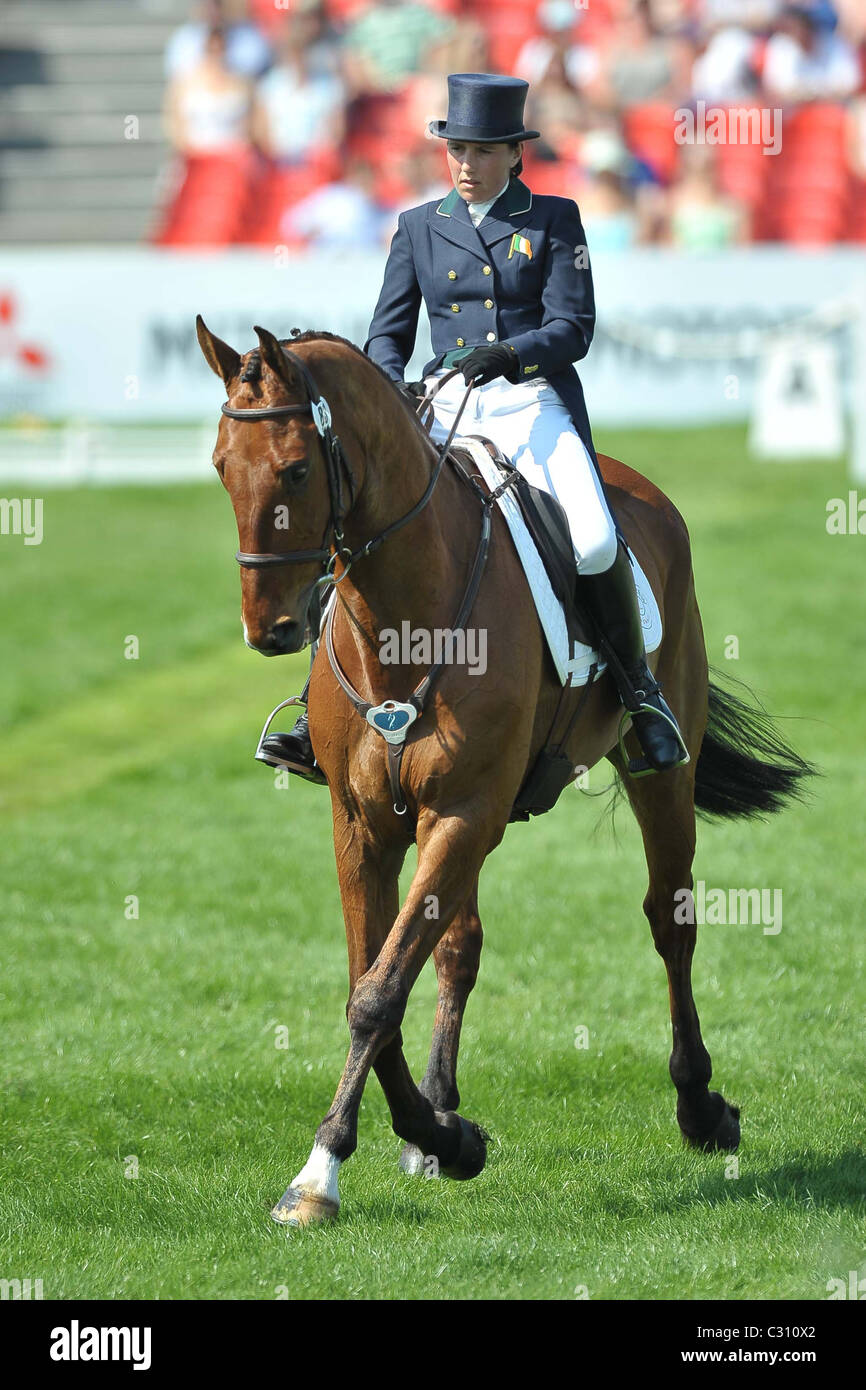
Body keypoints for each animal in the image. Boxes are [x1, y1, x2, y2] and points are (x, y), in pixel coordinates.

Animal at [196, 317, 813, 1227]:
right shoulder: (367, 823)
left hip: (658, 773)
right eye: (219, 466)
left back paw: (701, 1110)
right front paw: (433, 1137)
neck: (402, 616)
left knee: (671, 922)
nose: (268, 629)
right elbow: (374, 981)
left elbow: (377, 993)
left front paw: (321, 1174)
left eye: (298, 468)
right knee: (459, 948)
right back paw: (441, 1116)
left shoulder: (464, 812)